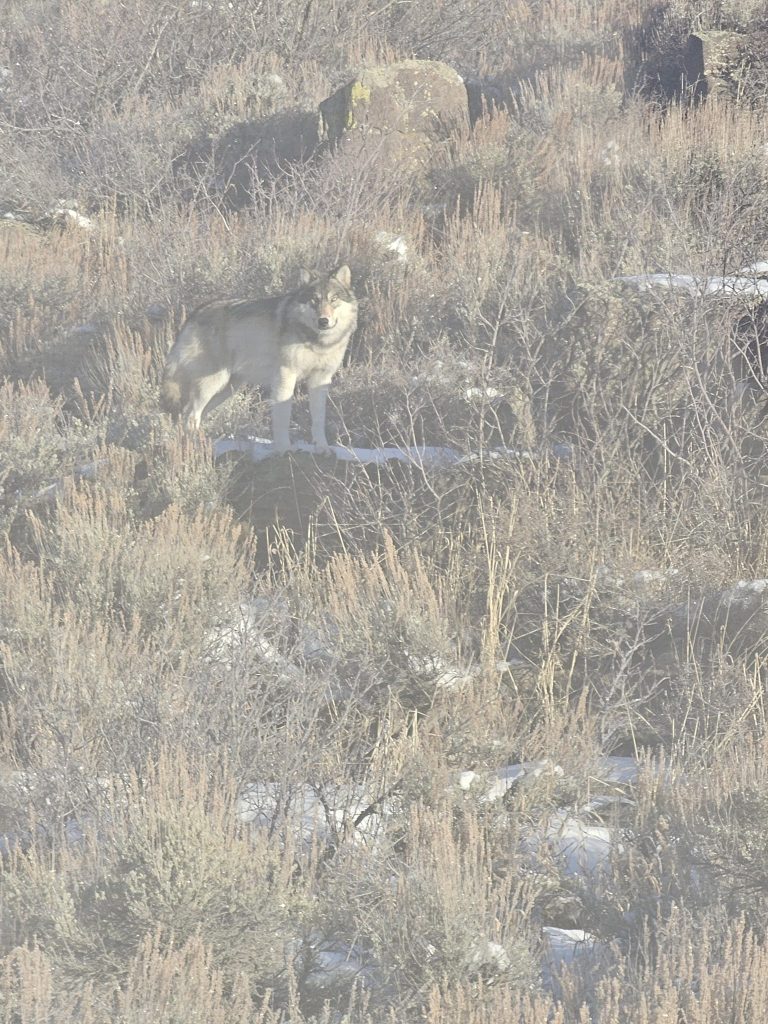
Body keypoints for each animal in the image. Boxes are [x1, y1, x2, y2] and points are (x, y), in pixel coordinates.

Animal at [161, 265, 357, 452]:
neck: (317, 341)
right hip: (211, 384)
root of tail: (195, 313)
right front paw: (284, 449)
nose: (323, 321)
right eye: (314, 300)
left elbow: (318, 419)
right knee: (190, 415)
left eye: (334, 299)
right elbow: (283, 416)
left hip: (226, 389)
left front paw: (322, 448)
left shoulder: (321, 379)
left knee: (193, 415)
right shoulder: (286, 375)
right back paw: (195, 447)